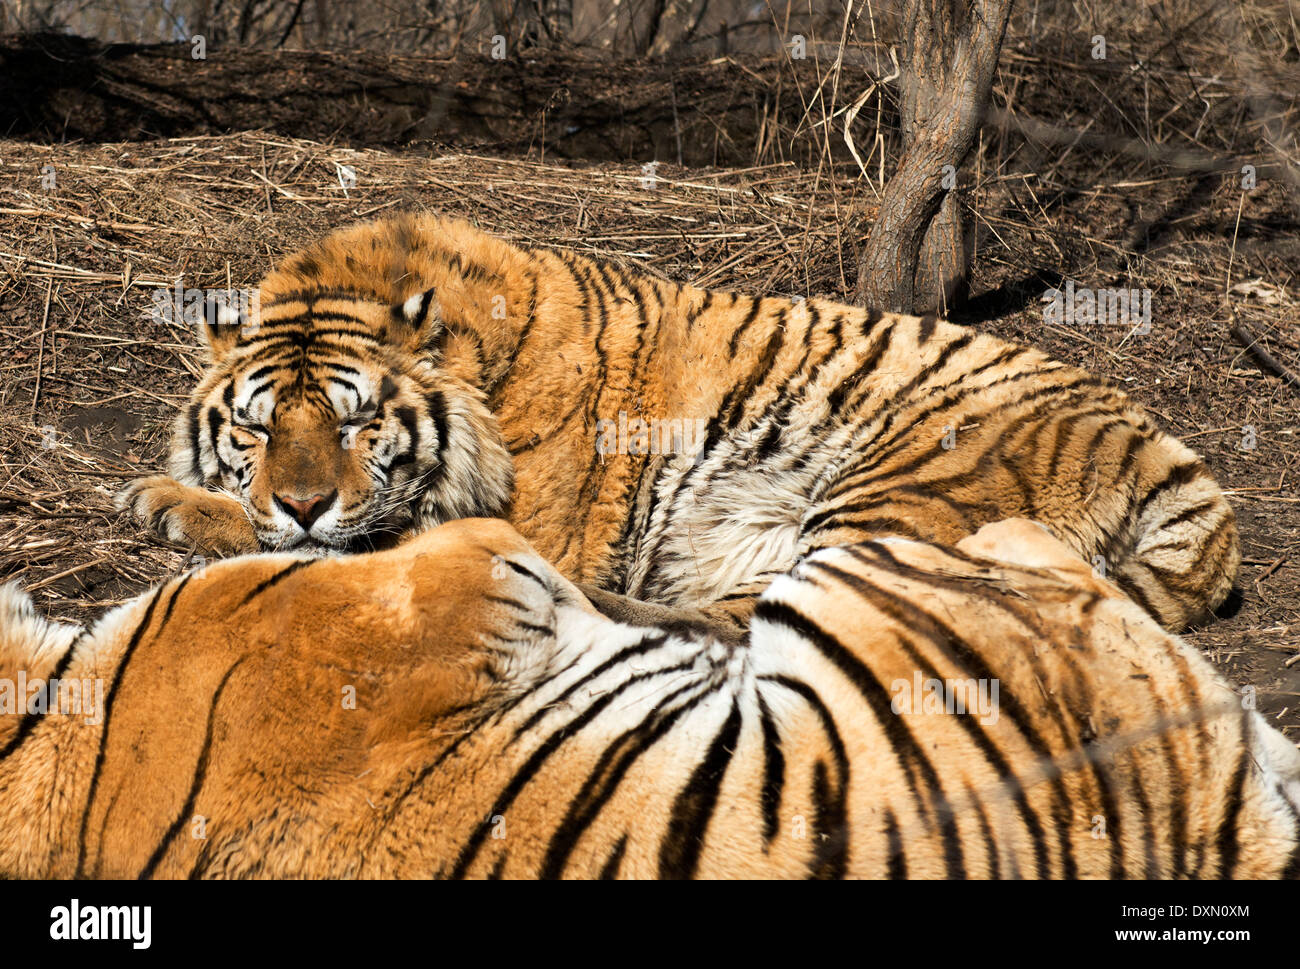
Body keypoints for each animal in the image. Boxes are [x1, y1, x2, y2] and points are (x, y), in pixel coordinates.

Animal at [120, 212, 1239, 632]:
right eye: (261, 430)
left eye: (358, 428)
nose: (303, 504)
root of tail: (1167, 450)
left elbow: (360, 543)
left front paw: (177, 506)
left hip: (903, 478)